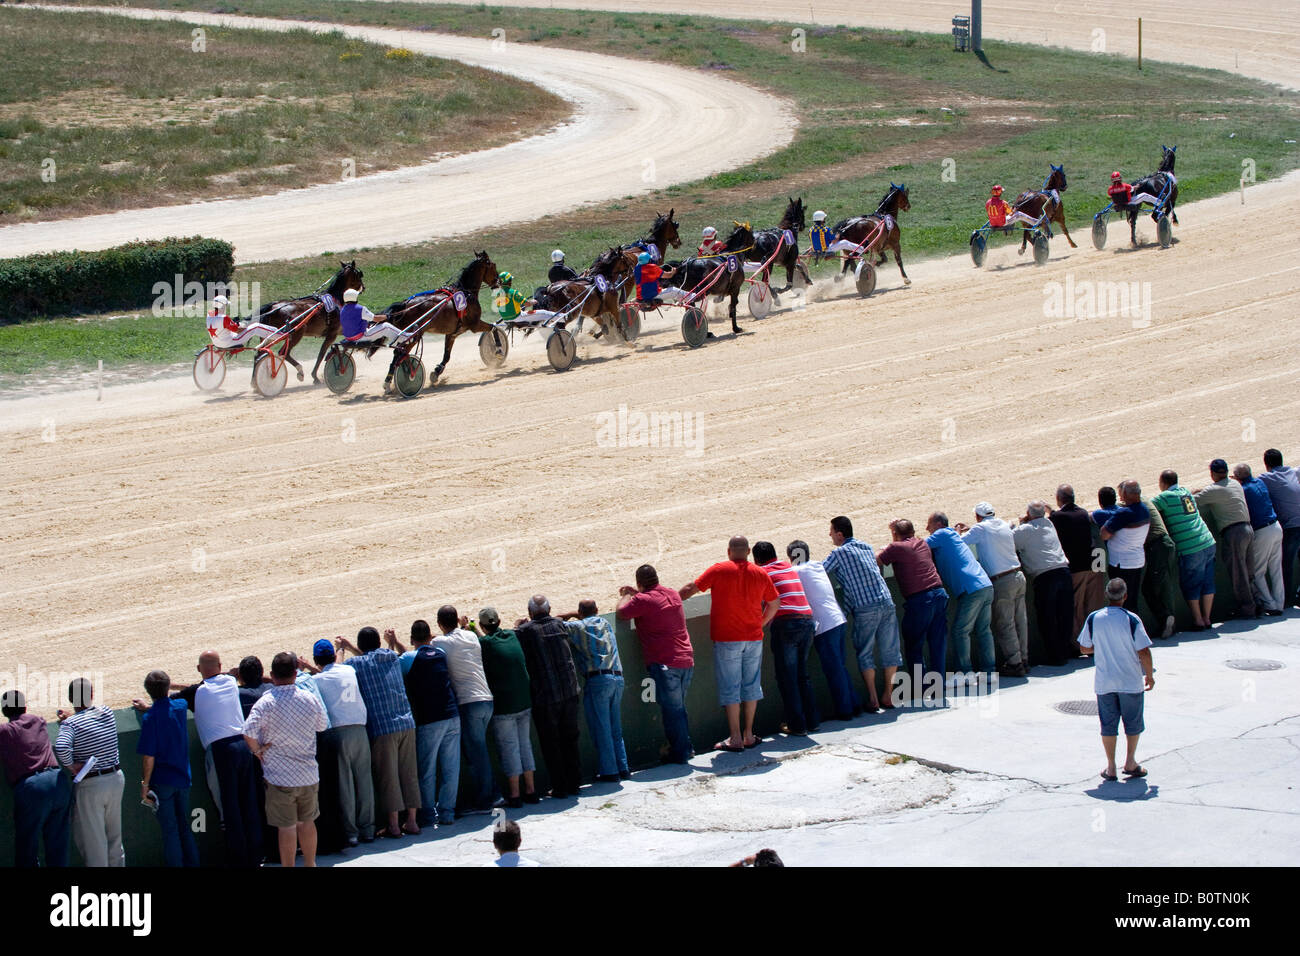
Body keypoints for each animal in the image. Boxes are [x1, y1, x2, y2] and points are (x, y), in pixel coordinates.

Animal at [380, 251, 499, 387]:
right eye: (493, 265)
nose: (499, 280)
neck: (466, 292)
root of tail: (405, 304)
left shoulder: (452, 333)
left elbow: (447, 356)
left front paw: (436, 372)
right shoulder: (475, 324)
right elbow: (494, 328)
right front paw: (498, 349)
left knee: (397, 354)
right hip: (414, 335)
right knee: (400, 354)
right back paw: (395, 380)